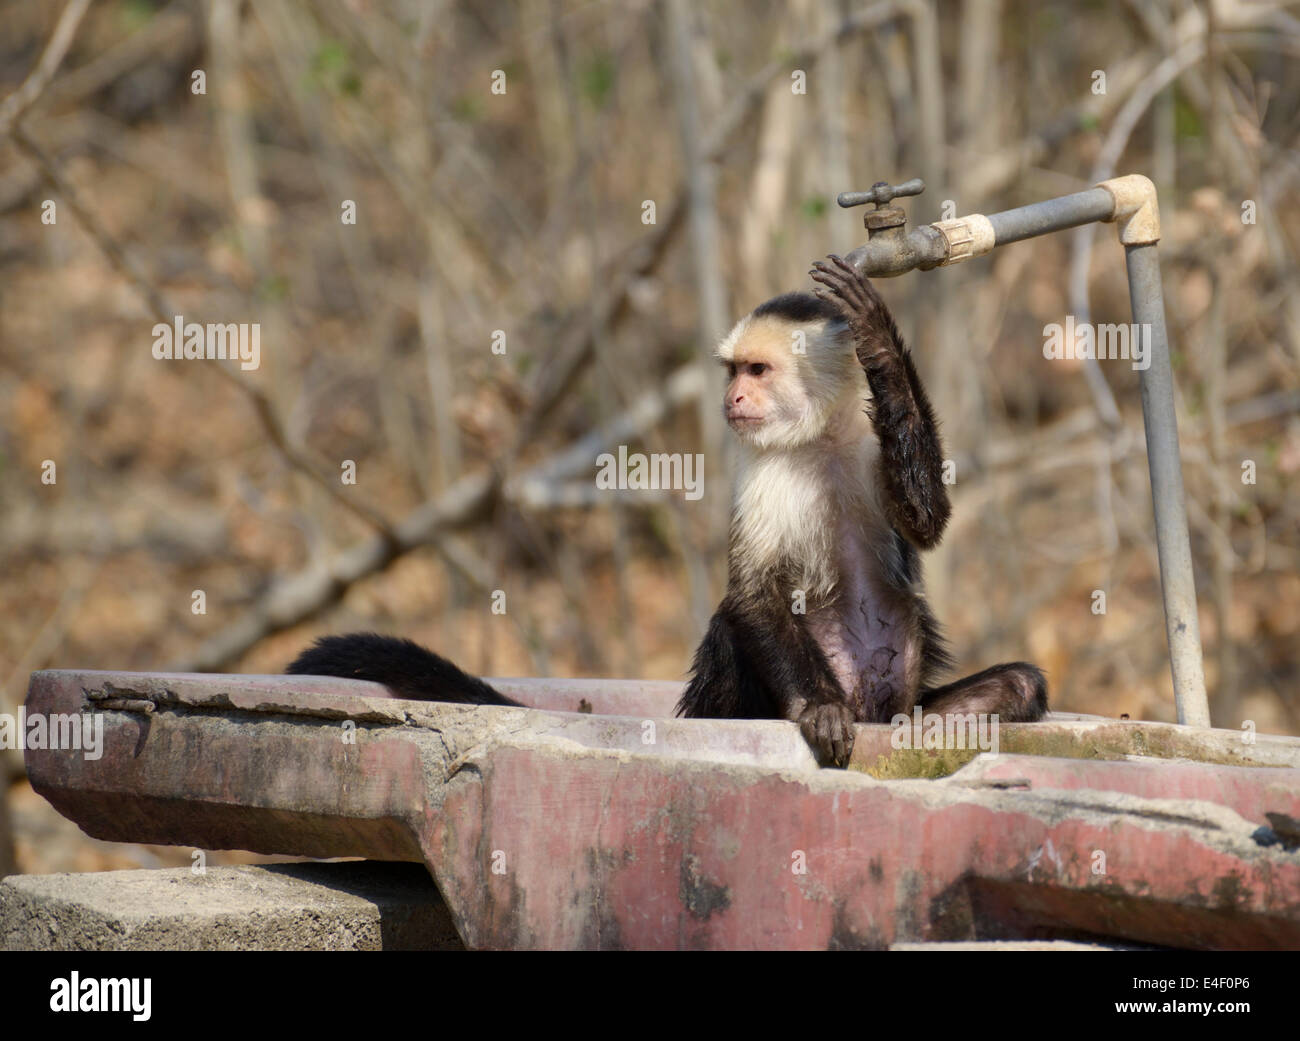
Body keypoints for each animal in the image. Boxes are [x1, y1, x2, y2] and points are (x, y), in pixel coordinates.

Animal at [287, 257, 1045, 764]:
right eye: (733, 370)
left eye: (757, 371)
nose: (732, 399)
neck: (818, 441)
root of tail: (879, 717)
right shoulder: (762, 474)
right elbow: (751, 596)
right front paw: (817, 708)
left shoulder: (863, 447)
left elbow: (925, 520)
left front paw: (880, 341)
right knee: (733, 625)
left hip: (902, 712)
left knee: (1018, 686)